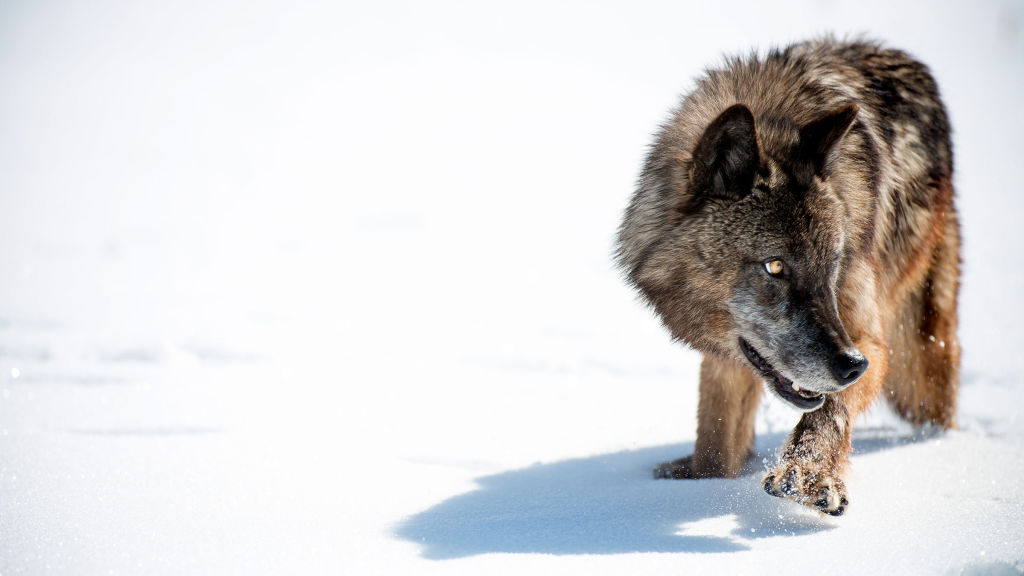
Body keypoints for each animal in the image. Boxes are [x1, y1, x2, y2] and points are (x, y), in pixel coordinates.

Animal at [615, 37, 959, 516]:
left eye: (832, 264)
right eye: (775, 267)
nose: (851, 365)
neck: (772, 119)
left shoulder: (867, 338)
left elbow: (829, 409)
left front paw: (808, 473)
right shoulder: (725, 360)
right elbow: (715, 445)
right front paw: (700, 483)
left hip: (919, 366)